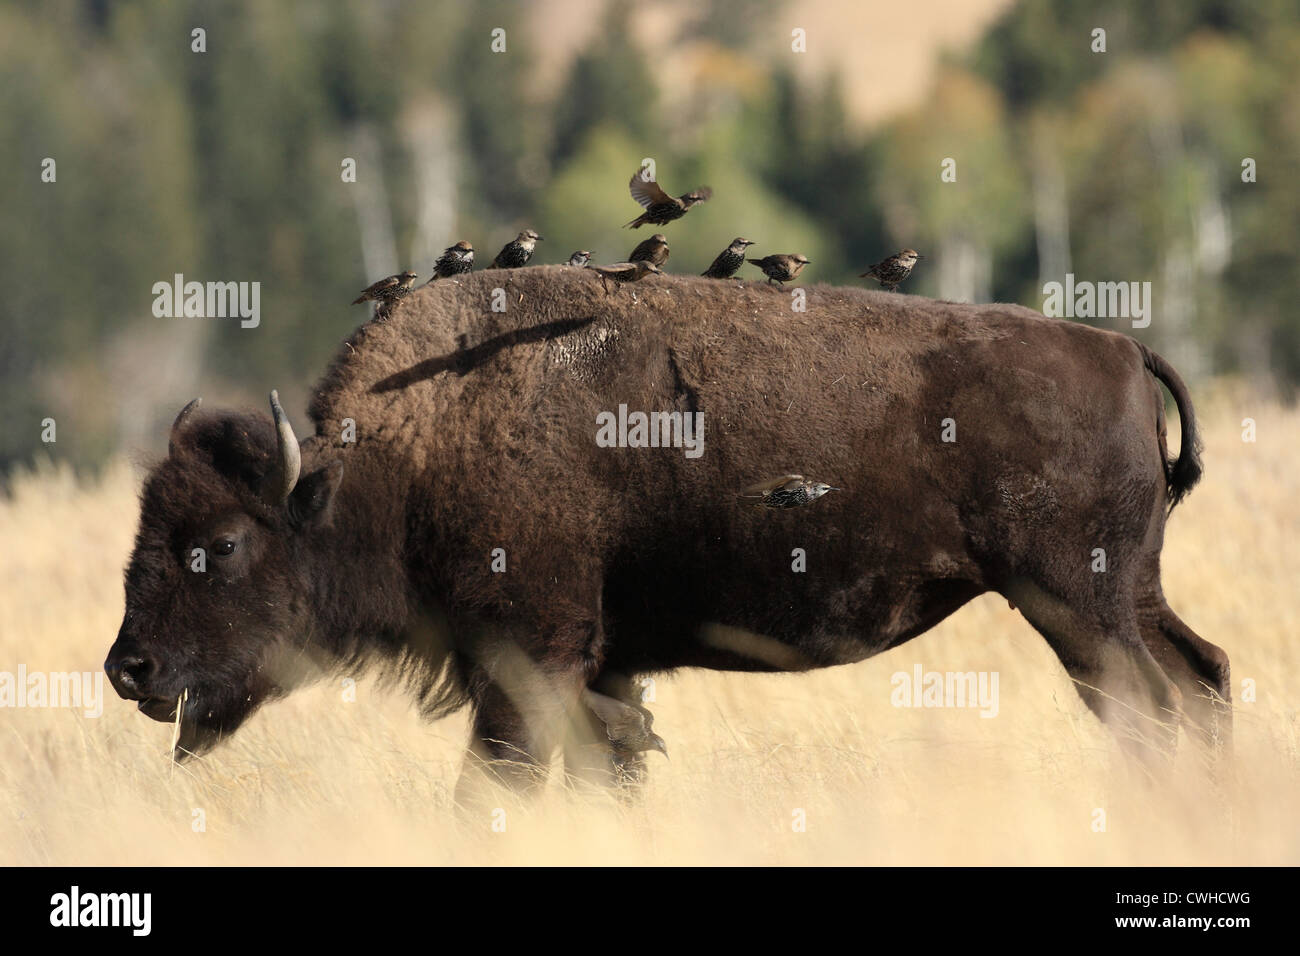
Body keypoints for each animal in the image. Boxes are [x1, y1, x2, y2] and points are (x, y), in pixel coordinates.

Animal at [105, 266, 1230, 791]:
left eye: (222, 544)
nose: (129, 668)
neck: (397, 458)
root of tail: (1120, 351)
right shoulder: (597, 670)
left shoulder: (528, 661)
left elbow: (496, 781)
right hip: (1127, 593)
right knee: (1203, 676)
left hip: (1074, 603)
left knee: (1150, 707)